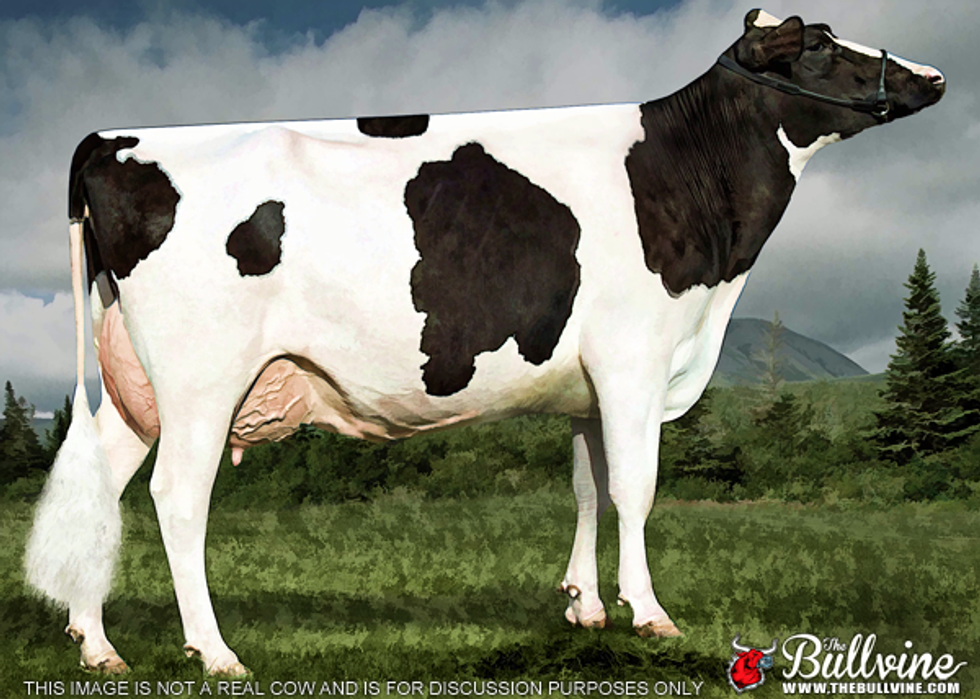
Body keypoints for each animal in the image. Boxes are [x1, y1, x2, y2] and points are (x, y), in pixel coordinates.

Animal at [25, 9, 944, 676]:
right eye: (818, 42)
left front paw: (585, 605)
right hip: (201, 378)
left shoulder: (587, 383)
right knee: (178, 498)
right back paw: (215, 652)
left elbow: (588, 485)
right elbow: (636, 488)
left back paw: (97, 643)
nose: (933, 76)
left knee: (106, 482)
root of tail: (110, 139)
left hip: (139, 386)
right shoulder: (634, 360)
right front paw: (650, 614)